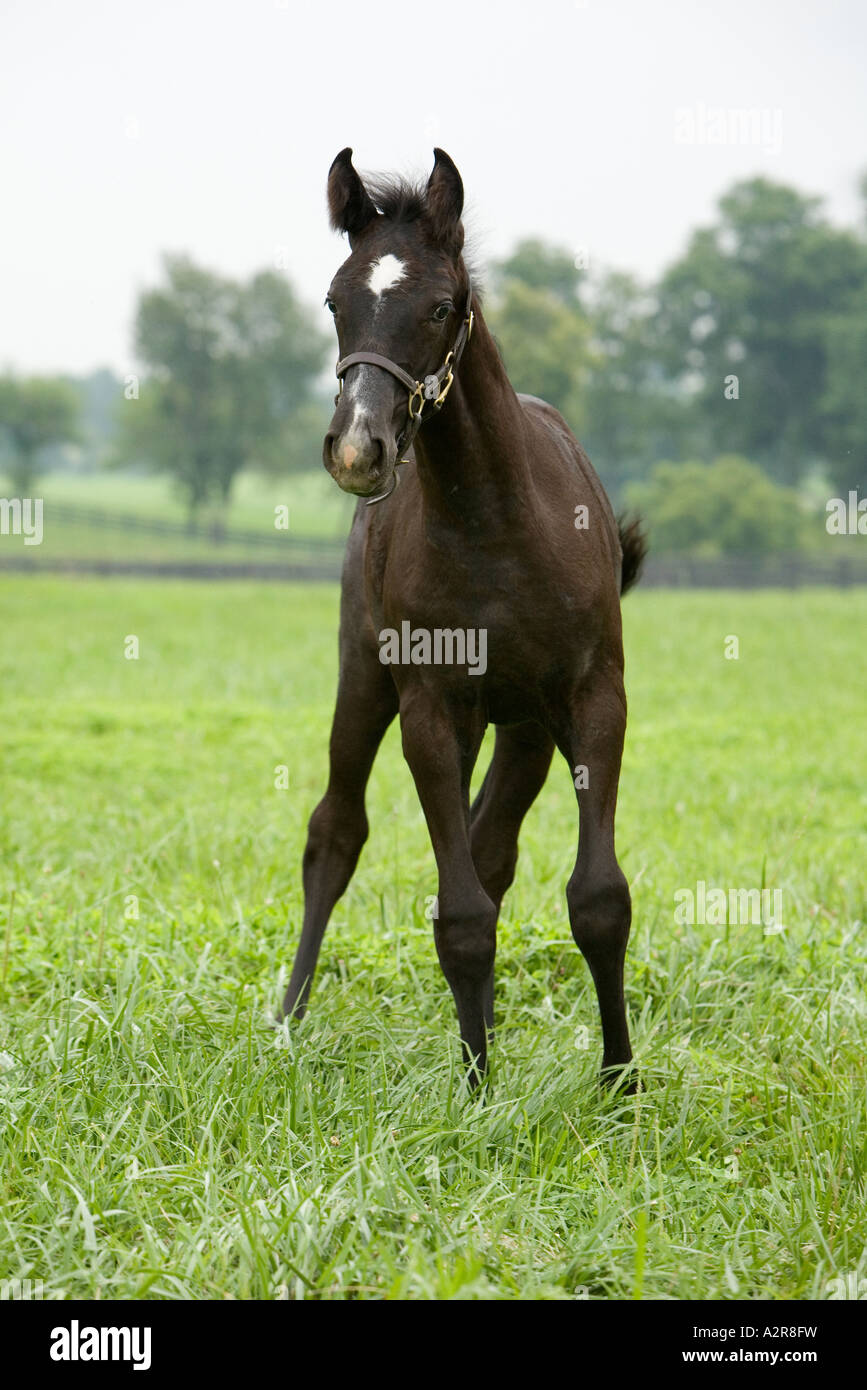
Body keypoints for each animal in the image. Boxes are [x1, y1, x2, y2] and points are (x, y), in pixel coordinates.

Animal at [279, 147, 645, 1088]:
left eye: (440, 305)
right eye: (335, 300)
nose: (357, 448)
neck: (498, 524)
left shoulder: (594, 698)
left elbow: (597, 898)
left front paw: (620, 1083)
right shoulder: (430, 706)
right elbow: (462, 916)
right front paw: (478, 1091)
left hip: (518, 728)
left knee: (489, 848)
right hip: (367, 679)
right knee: (335, 831)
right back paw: (287, 1019)